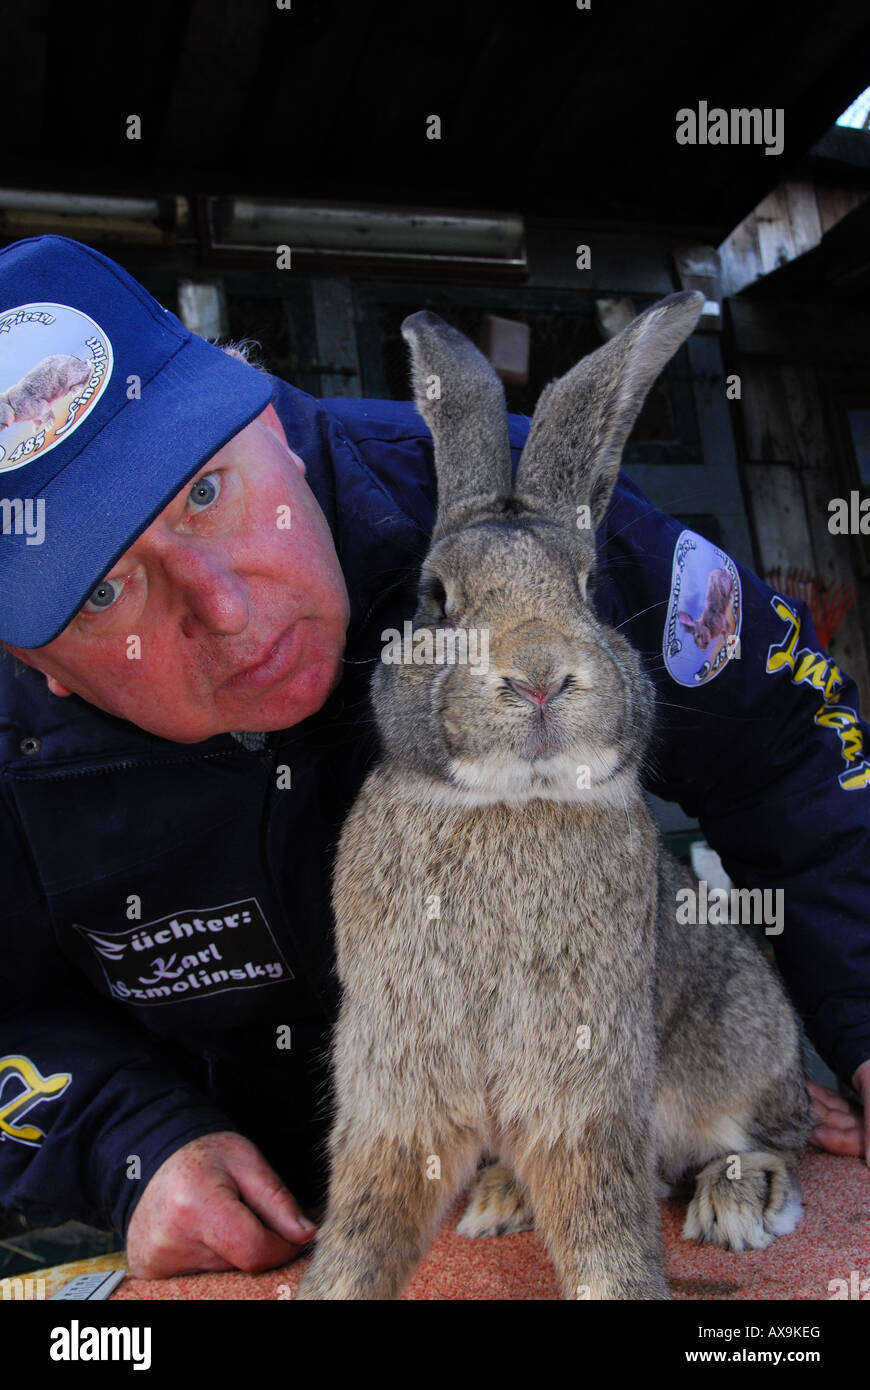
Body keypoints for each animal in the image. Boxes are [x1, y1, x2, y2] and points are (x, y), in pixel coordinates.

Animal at [295, 292, 812, 1301]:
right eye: (435, 598)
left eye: (590, 589)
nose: (538, 675)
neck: (504, 803)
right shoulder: (396, 1078)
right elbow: (370, 1209)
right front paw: (333, 1287)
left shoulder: (587, 1075)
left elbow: (601, 1202)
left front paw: (623, 1286)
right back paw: (501, 1197)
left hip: (746, 1040)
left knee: (765, 1138)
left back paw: (739, 1201)